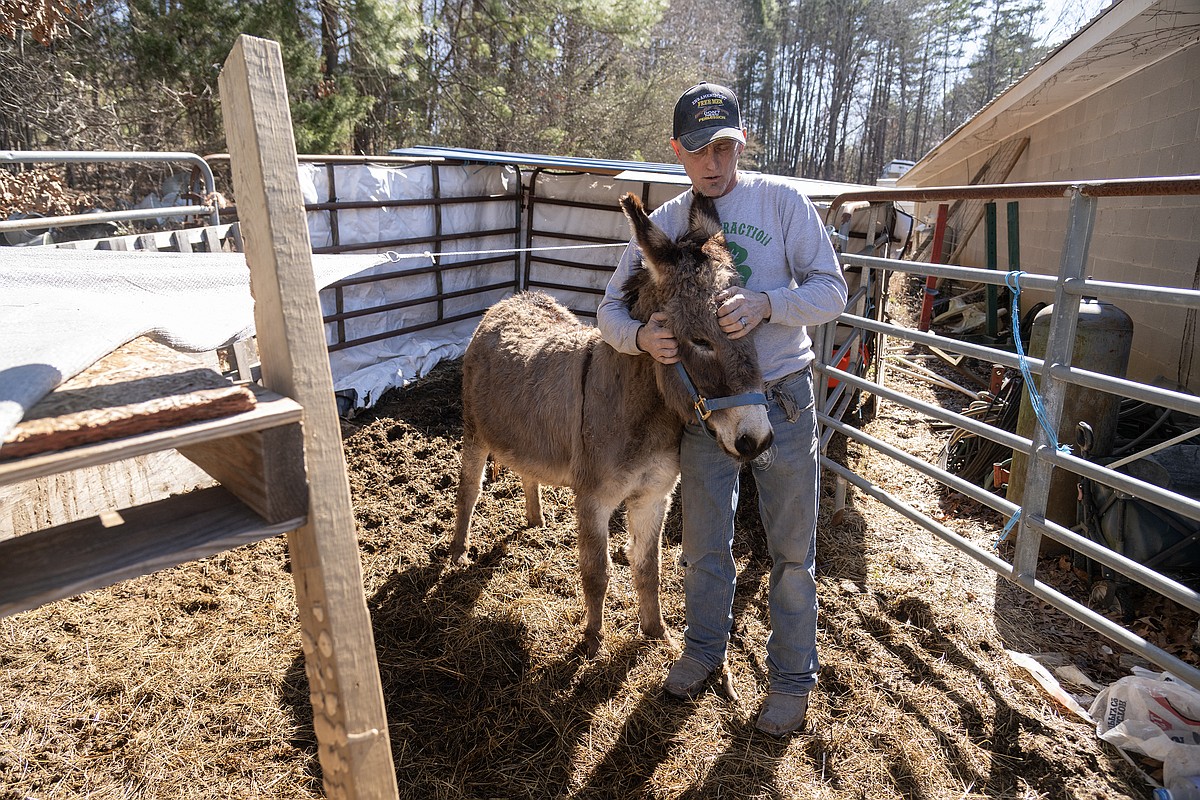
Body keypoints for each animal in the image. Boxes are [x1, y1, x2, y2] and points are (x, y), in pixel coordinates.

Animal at [451, 191, 772, 656]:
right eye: (699, 341)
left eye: (750, 328)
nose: (757, 439)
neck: (642, 412)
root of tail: (516, 298)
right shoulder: (592, 499)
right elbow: (596, 573)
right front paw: (591, 641)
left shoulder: (654, 496)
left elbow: (649, 568)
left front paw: (658, 633)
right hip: (475, 431)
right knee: (469, 492)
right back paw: (458, 550)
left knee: (527, 472)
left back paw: (536, 521)